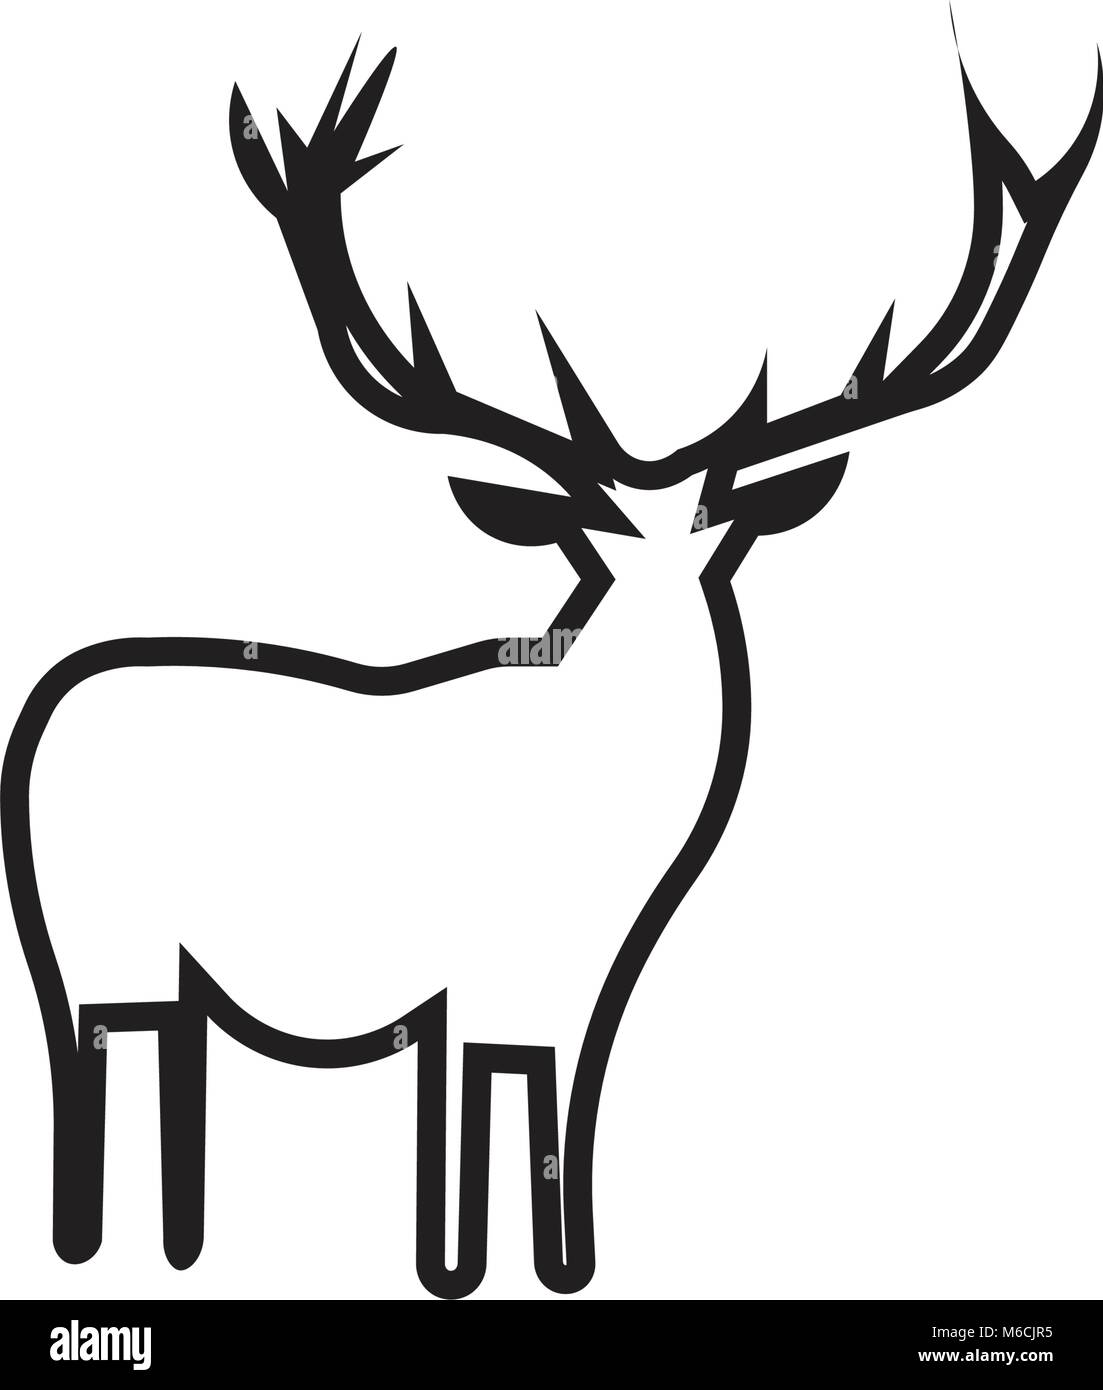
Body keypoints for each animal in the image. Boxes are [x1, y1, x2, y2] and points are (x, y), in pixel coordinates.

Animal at [3, 36, 1100, 1300]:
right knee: (82, 1062)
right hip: (89, 944)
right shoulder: (461, 978)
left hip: (172, 971)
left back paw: (178, 1249)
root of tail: (42, 710)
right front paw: (452, 1272)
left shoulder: (574, 989)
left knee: (177, 1053)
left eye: (720, 541)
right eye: (597, 541)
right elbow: (453, 1141)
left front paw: (569, 1264)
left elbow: (560, 1121)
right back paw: (83, 1245)